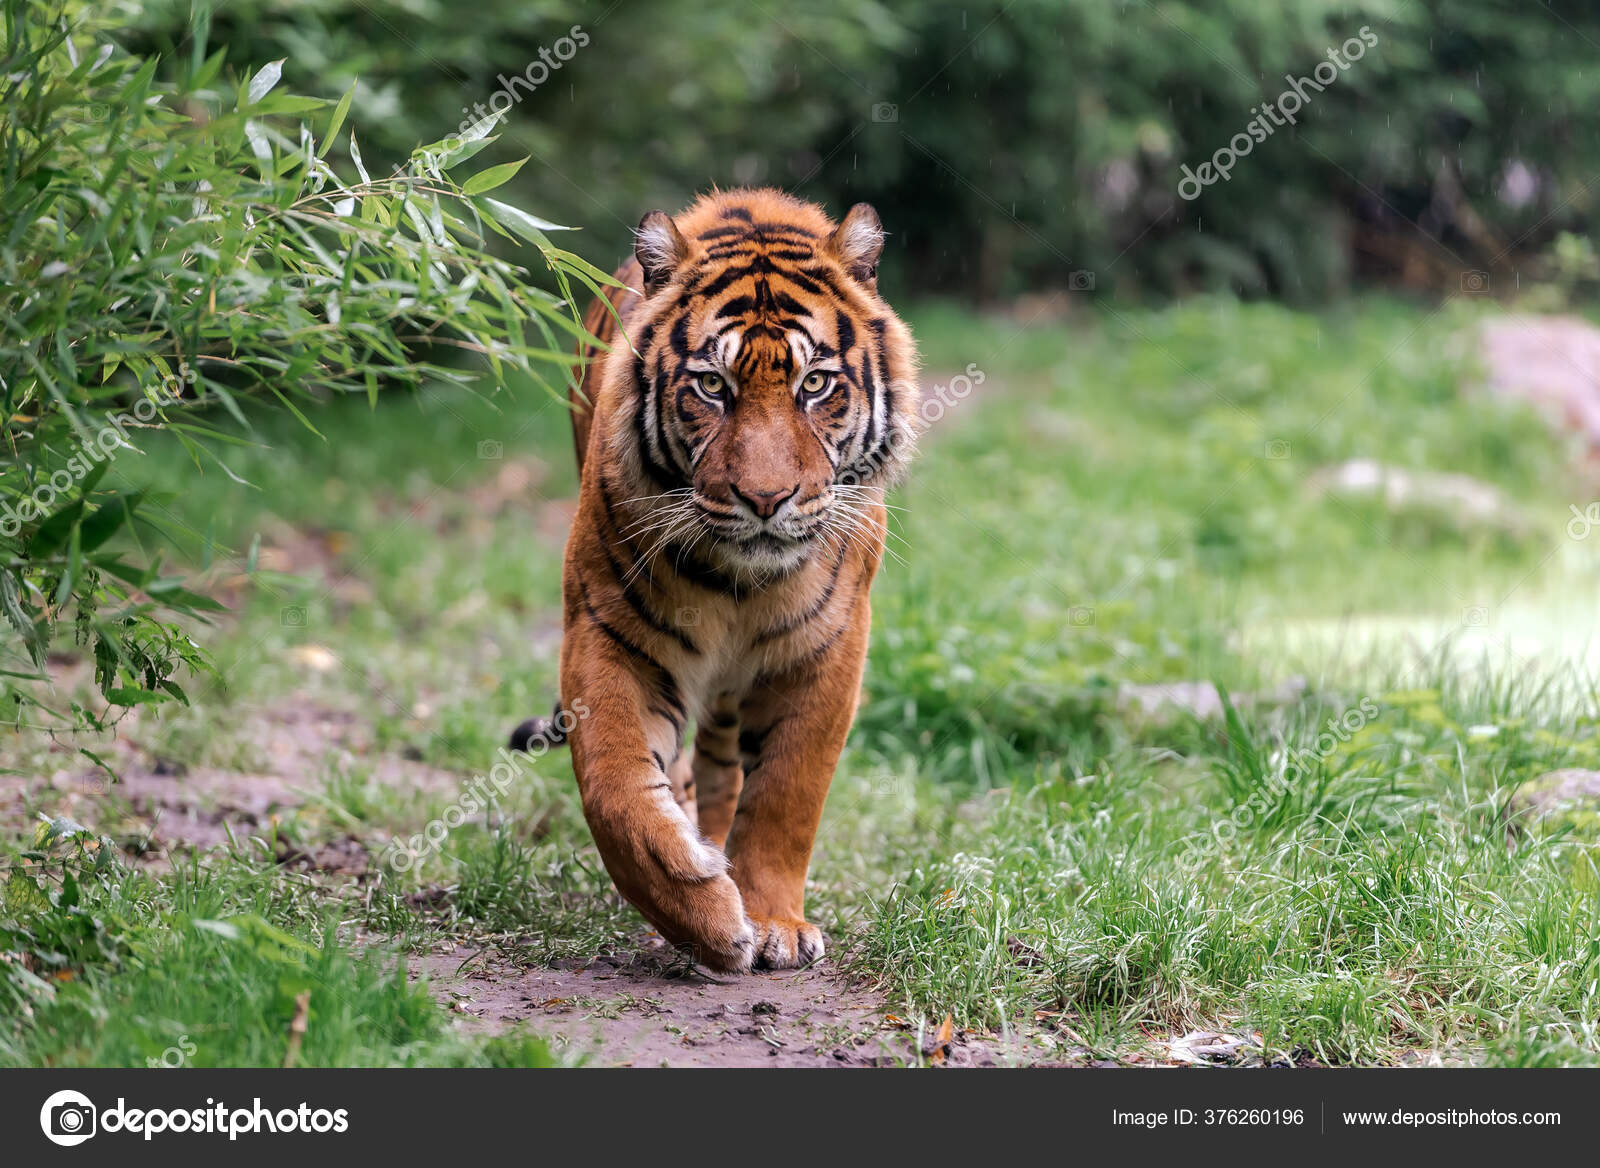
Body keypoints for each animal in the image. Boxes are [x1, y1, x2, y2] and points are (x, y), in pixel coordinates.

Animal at [509, 187, 920, 971]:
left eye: (814, 383)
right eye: (711, 385)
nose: (766, 498)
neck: (741, 585)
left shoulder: (828, 649)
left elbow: (787, 793)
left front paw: (772, 921)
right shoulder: (607, 634)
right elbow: (615, 787)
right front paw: (702, 914)